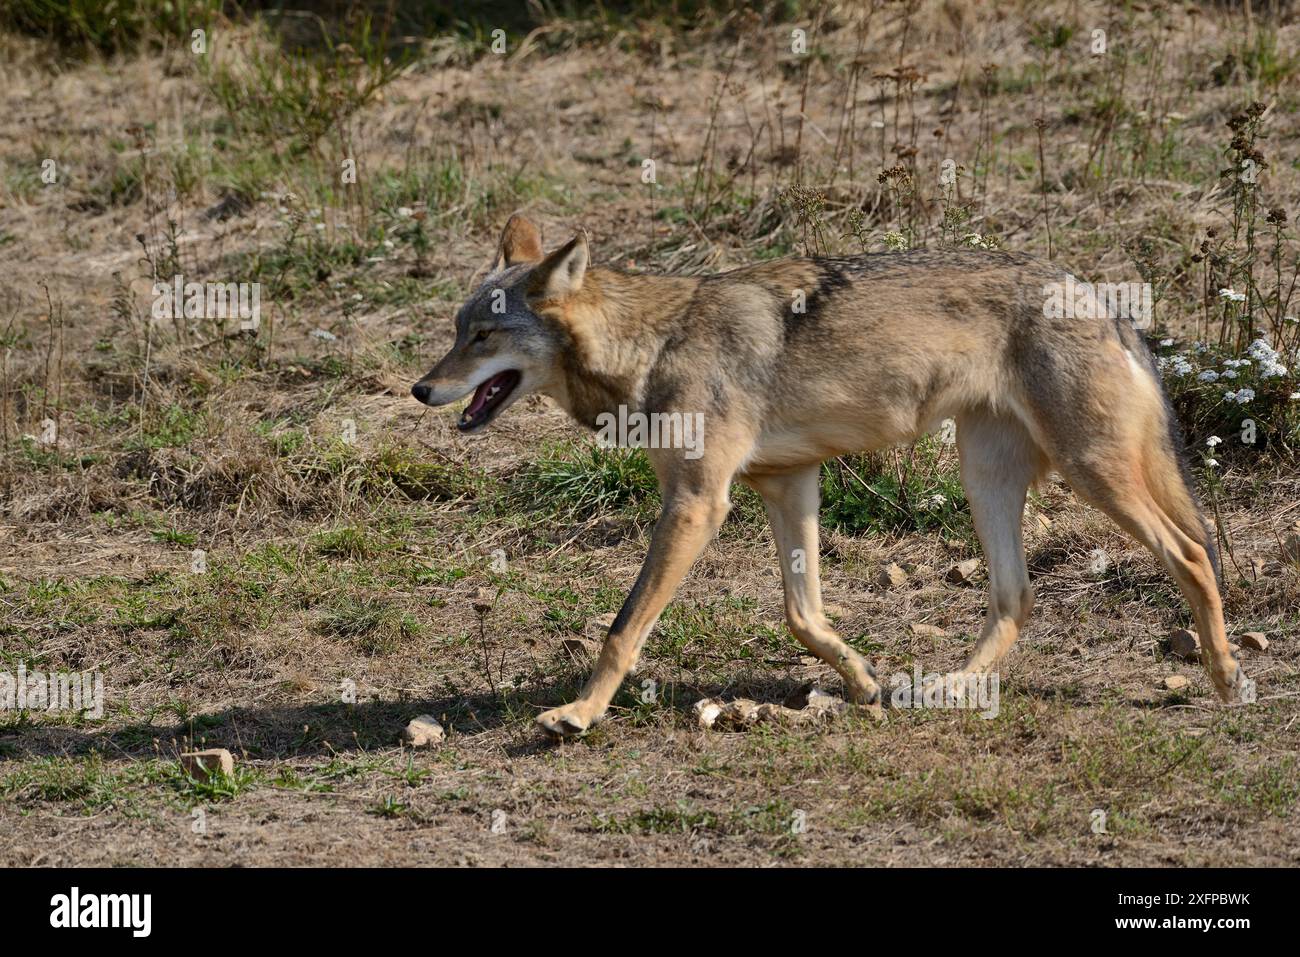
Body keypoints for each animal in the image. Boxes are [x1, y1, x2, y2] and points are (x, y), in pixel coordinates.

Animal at [411, 214, 1247, 737]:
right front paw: (866, 681)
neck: (654, 343)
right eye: (455, 331)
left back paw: (1226, 677)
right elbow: (803, 615)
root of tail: (1099, 293)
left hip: (1091, 472)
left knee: (1192, 552)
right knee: (1017, 597)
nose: (420, 389)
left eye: (483, 336)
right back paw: (946, 688)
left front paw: (579, 715)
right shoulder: (790, 485)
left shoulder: (698, 503)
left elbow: (623, 630)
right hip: (985, 477)